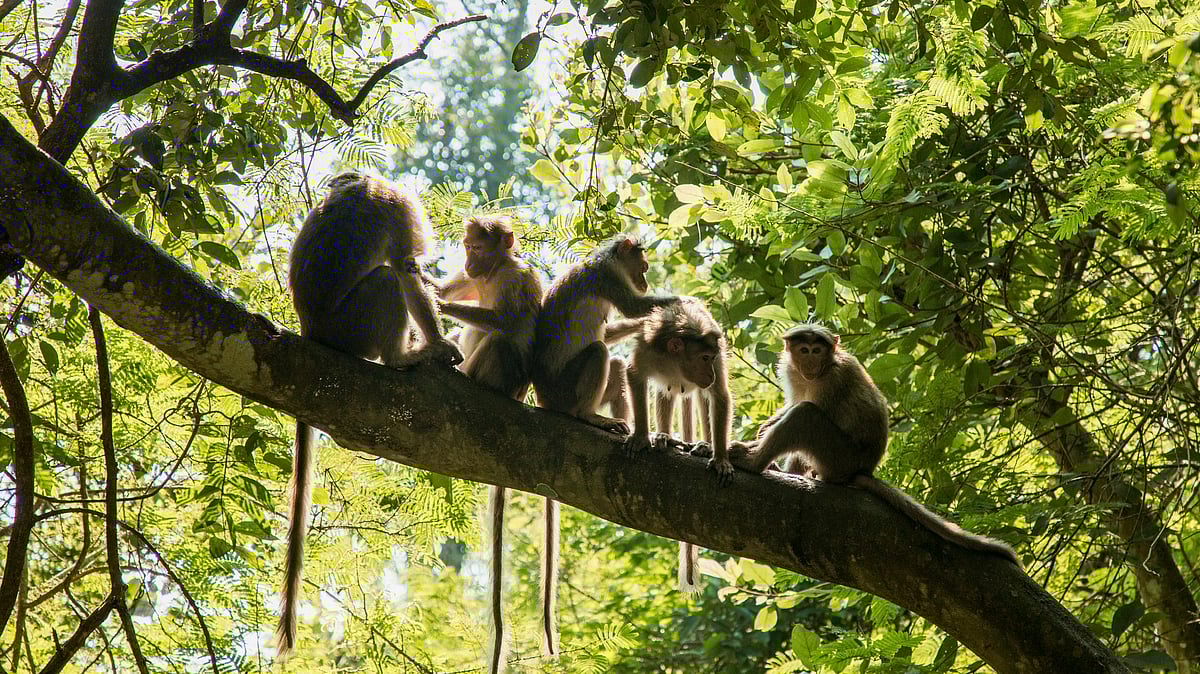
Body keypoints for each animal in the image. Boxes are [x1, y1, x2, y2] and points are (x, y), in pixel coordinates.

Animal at [279, 172, 463, 655]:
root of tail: (311, 331)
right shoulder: (401, 211)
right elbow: (405, 268)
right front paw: (438, 340)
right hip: (353, 329)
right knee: (385, 281)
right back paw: (403, 356)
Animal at [529, 236, 678, 655]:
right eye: (642, 266)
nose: (645, 279)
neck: (604, 257)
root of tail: (544, 400)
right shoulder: (605, 278)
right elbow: (632, 307)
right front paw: (680, 303)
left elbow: (614, 328)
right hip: (565, 389)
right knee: (597, 354)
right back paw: (589, 416)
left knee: (612, 361)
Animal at [729, 323, 1019, 565]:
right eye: (804, 350)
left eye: (816, 350)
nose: (810, 361)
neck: (822, 369)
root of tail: (864, 469)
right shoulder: (793, 371)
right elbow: (793, 402)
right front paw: (766, 426)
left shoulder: (836, 378)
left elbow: (811, 408)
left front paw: (763, 438)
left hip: (839, 457)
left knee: (806, 416)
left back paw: (755, 463)